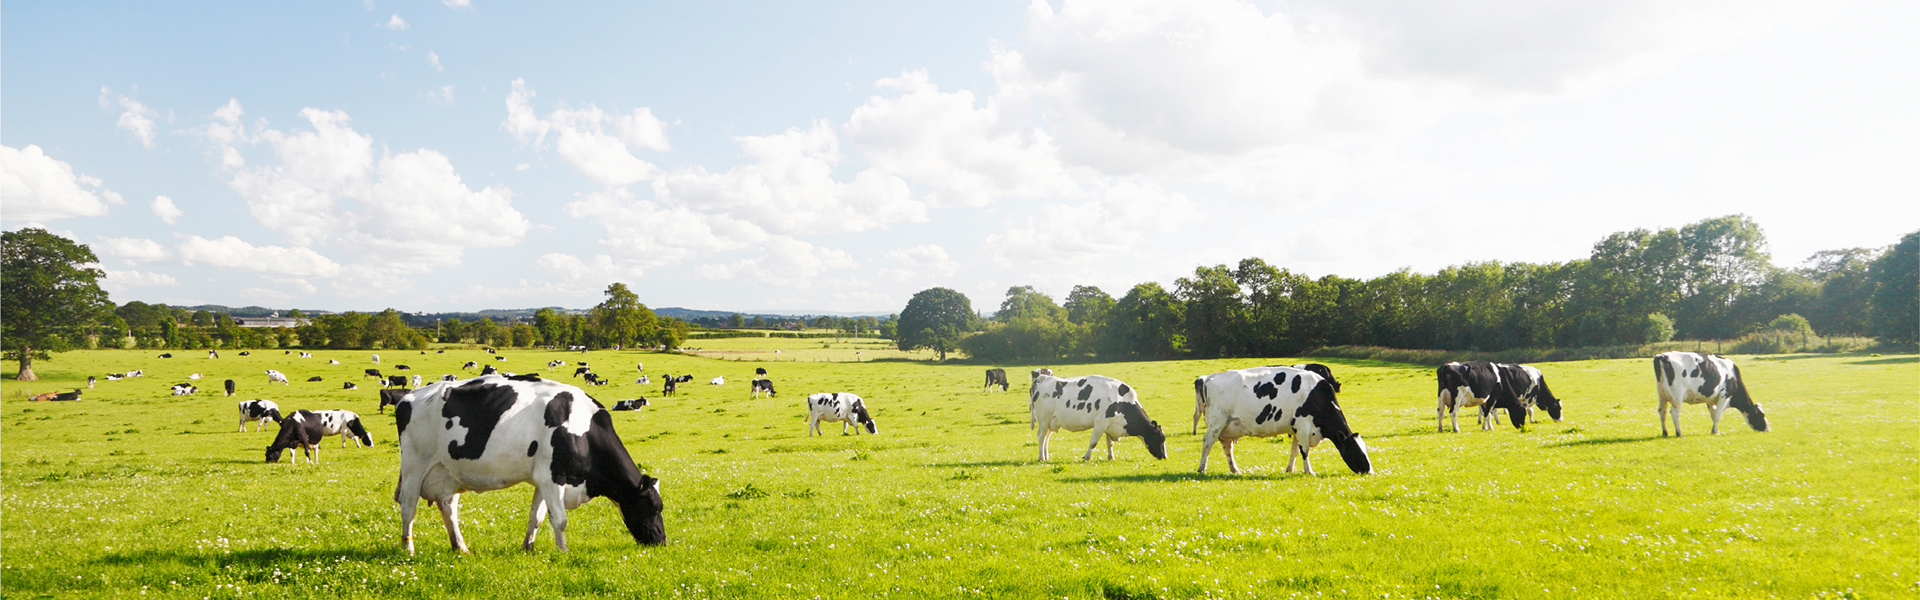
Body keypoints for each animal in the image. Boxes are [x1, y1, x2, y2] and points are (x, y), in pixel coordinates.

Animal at [393, 375, 666, 553]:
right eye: (654, 508)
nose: (662, 542)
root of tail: (409, 397)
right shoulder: (554, 477)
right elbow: (560, 519)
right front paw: (564, 552)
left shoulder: (543, 479)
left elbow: (537, 517)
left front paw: (528, 547)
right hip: (414, 466)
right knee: (408, 507)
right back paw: (409, 550)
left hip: (449, 472)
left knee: (448, 507)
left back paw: (460, 547)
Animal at [1028, 374, 1166, 462]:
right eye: (1159, 439)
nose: (1164, 457)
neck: (1121, 402)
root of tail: (1041, 379)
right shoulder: (1100, 422)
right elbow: (1093, 442)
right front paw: (1086, 457)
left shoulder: (1109, 425)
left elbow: (1110, 443)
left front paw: (1111, 457)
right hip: (1043, 419)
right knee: (1041, 437)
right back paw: (1041, 457)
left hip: (1052, 422)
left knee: (1046, 438)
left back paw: (1046, 456)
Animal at [1194, 366, 1371, 475]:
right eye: (1356, 450)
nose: (1370, 471)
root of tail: (1209, 377)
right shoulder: (1303, 425)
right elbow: (1304, 450)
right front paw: (1309, 471)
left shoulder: (1297, 428)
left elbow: (1295, 450)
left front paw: (1290, 469)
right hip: (1217, 422)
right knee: (1207, 443)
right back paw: (1202, 468)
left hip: (1227, 427)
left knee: (1227, 447)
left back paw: (1234, 469)